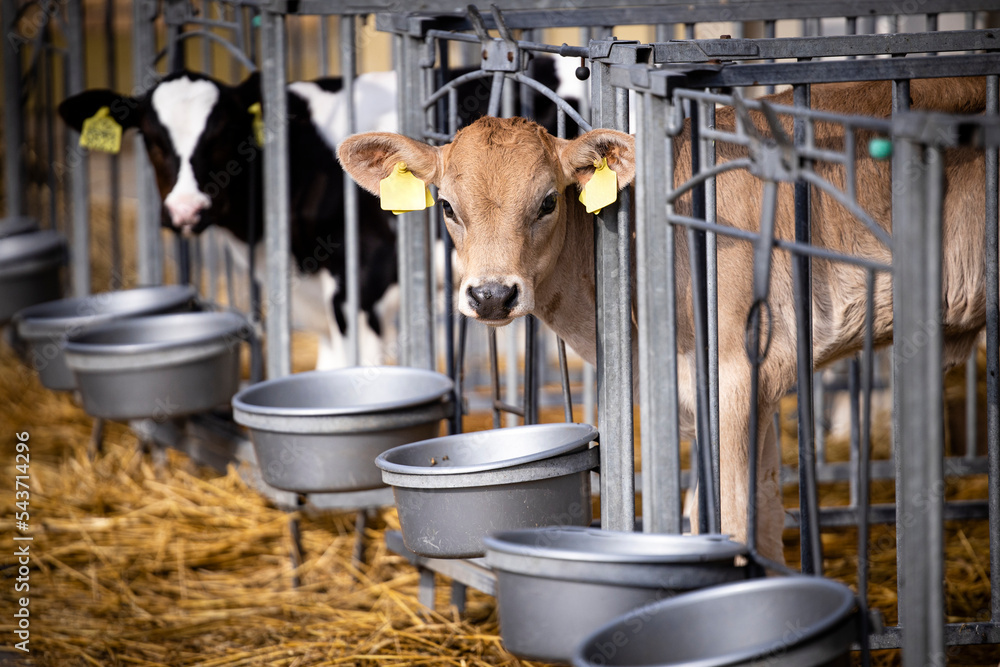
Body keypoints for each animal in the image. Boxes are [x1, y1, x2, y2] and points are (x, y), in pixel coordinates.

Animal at [337, 76, 989, 564]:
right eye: (447, 206)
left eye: (547, 202)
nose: (492, 295)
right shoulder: (750, 383)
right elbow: (763, 516)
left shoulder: (734, 371)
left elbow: (725, 520)